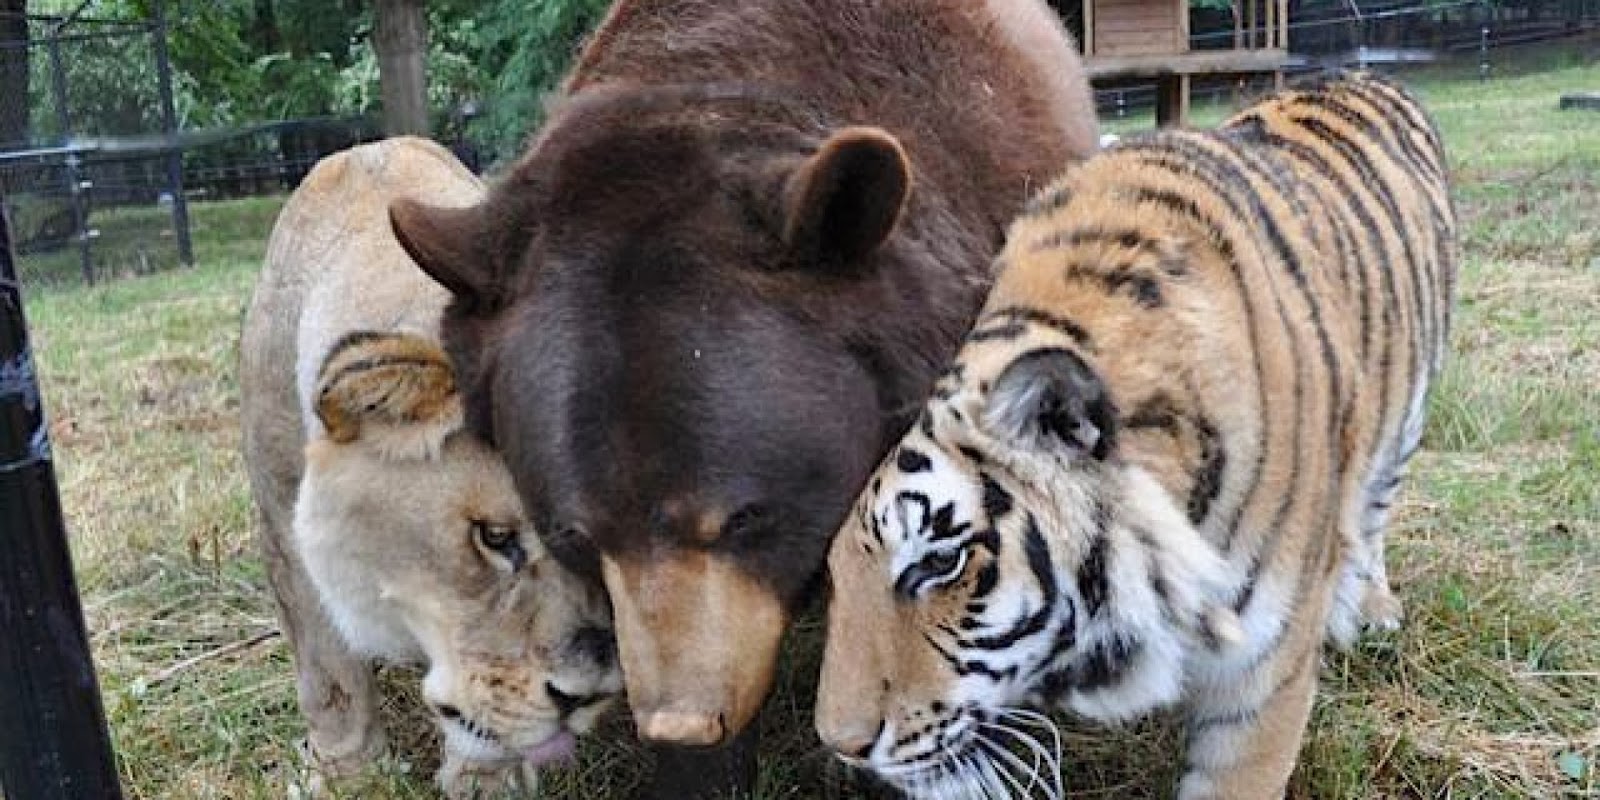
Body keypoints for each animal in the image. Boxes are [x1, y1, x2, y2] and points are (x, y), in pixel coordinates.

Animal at [240, 137, 621, 797]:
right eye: (494, 537)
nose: (589, 695)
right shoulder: (281, 518)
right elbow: (328, 672)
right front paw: (347, 774)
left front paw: (485, 782)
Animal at [814, 71, 1456, 799]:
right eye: (834, 572)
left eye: (938, 563)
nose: (842, 745)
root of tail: (1360, 73)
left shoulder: (1265, 671)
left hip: (1405, 420)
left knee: (1373, 511)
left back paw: (1371, 606)